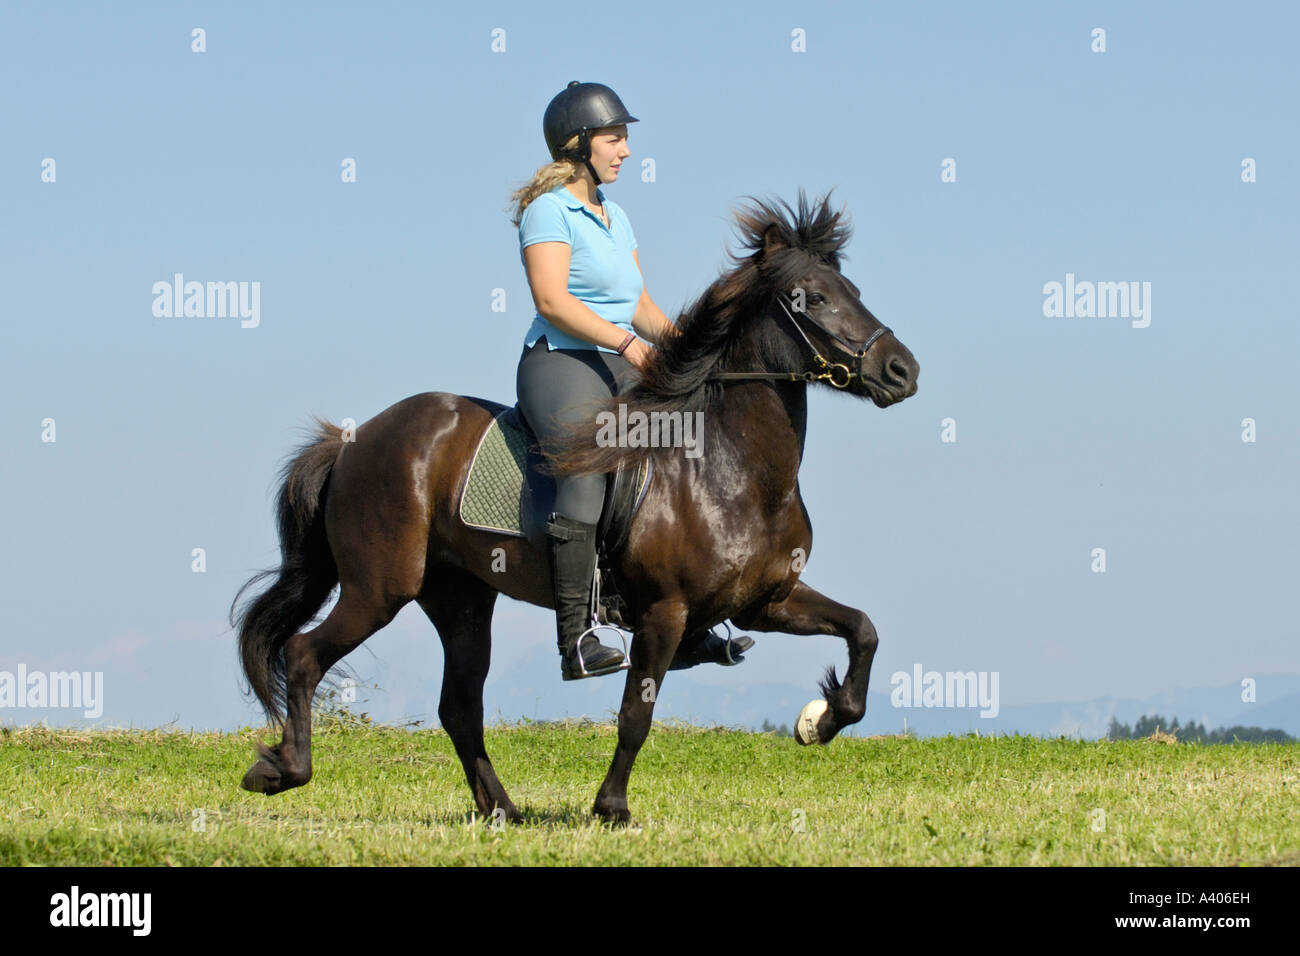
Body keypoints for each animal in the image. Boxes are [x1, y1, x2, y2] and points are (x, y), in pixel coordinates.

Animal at [230, 188, 919, 824]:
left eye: (852, 288)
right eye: (812, 298)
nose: (902, 370)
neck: (729, 470)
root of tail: (353, 440)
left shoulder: (765, 602)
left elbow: (863, 630)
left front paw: (820, 721)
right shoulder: (664, 614)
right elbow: (636, 715)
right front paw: (611, 808)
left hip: (460, 598)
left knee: (459, 706)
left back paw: (501, 811)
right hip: (381, 588)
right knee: (304, 655)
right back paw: (281, 771)